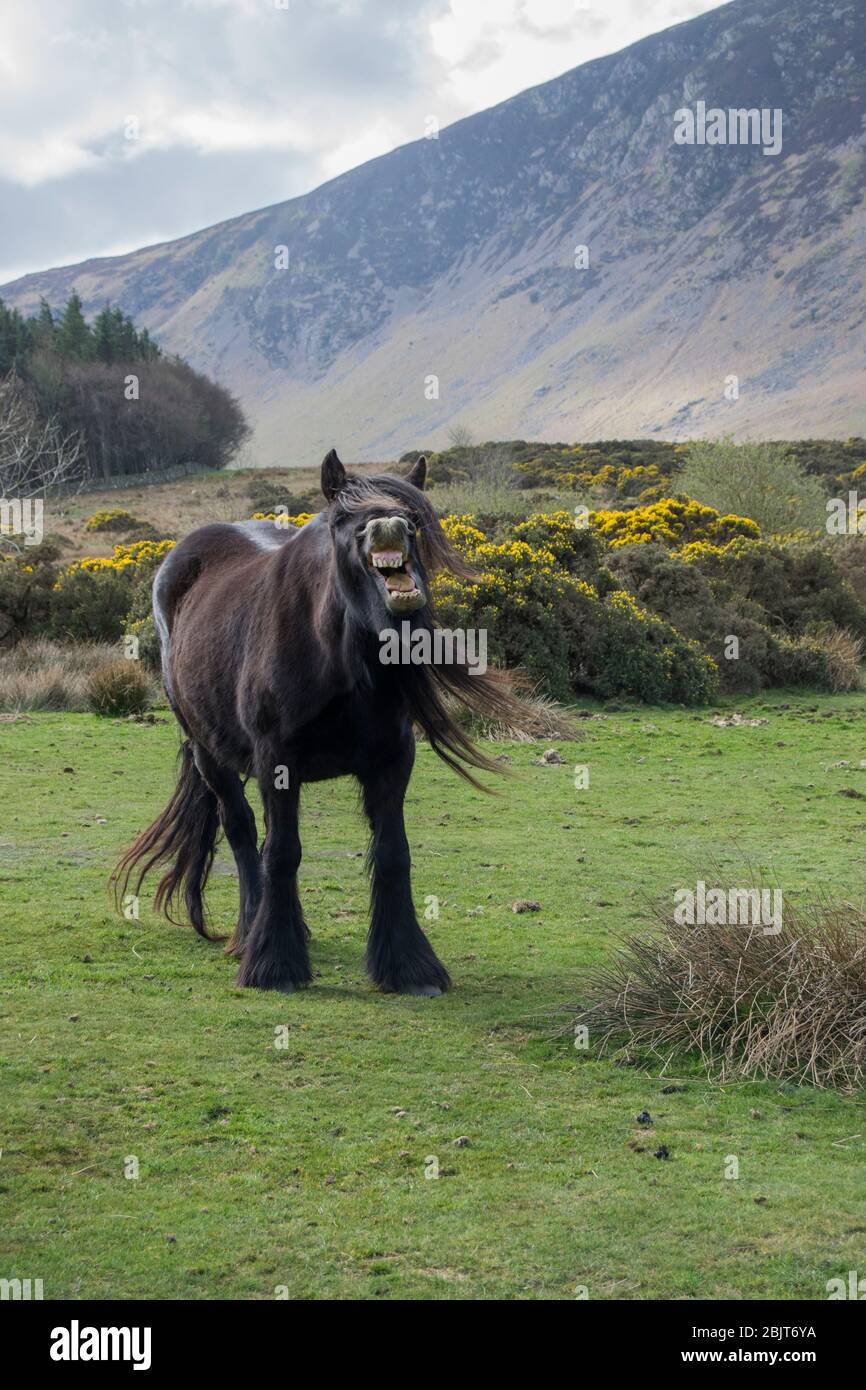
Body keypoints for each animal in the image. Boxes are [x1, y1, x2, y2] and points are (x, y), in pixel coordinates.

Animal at [114, 449, 521, 996]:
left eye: (413, 516)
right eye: (345, 518)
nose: (388, 527)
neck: (337, 658)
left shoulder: (394, 759)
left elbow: (393, 853)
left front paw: (410, 968)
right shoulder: (276, 761)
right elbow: (282, 851)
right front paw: (275, 965)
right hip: (207, 750)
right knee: (240, 828)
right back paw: (251, 931)